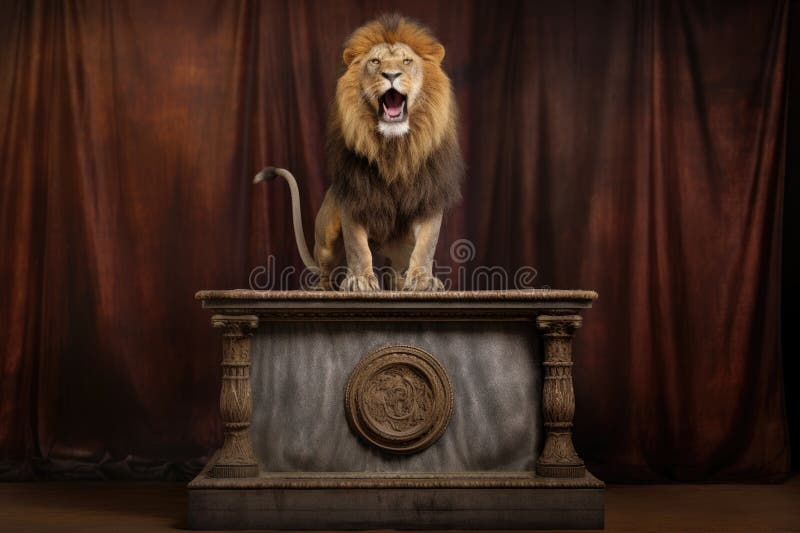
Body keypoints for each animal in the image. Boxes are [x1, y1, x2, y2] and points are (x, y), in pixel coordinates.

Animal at [254, 14, 463, 291]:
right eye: (375, 62)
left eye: (407, 61)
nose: (391, 74)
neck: (394, 147)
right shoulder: (354, 196)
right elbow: (357, 246)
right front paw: (360, 280)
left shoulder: (428, 196)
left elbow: (427, 245)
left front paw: (422, 280)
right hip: (327, 232)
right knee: (327, 268)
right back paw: (324, 287)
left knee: (396, 269)